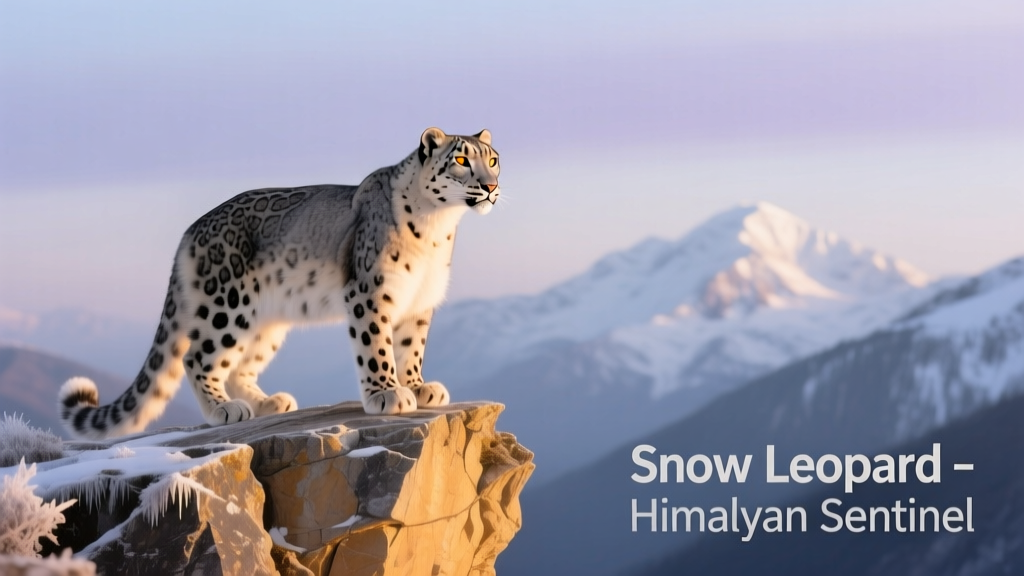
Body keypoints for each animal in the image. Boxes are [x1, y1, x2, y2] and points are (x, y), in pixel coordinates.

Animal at [58, 127, 500, 440]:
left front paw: (419, 387)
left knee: (238, 366)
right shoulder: (370, 292)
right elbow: (377, 346)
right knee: (198, 356)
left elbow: (412, 348)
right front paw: (386, 394)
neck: (437, 229)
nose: (491, 186)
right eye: (461, 159)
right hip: (227, 305)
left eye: (493, 159)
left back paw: (269, 402)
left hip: (265, 322)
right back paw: (223, 409)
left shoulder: (419, 300)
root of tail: (190, 233)